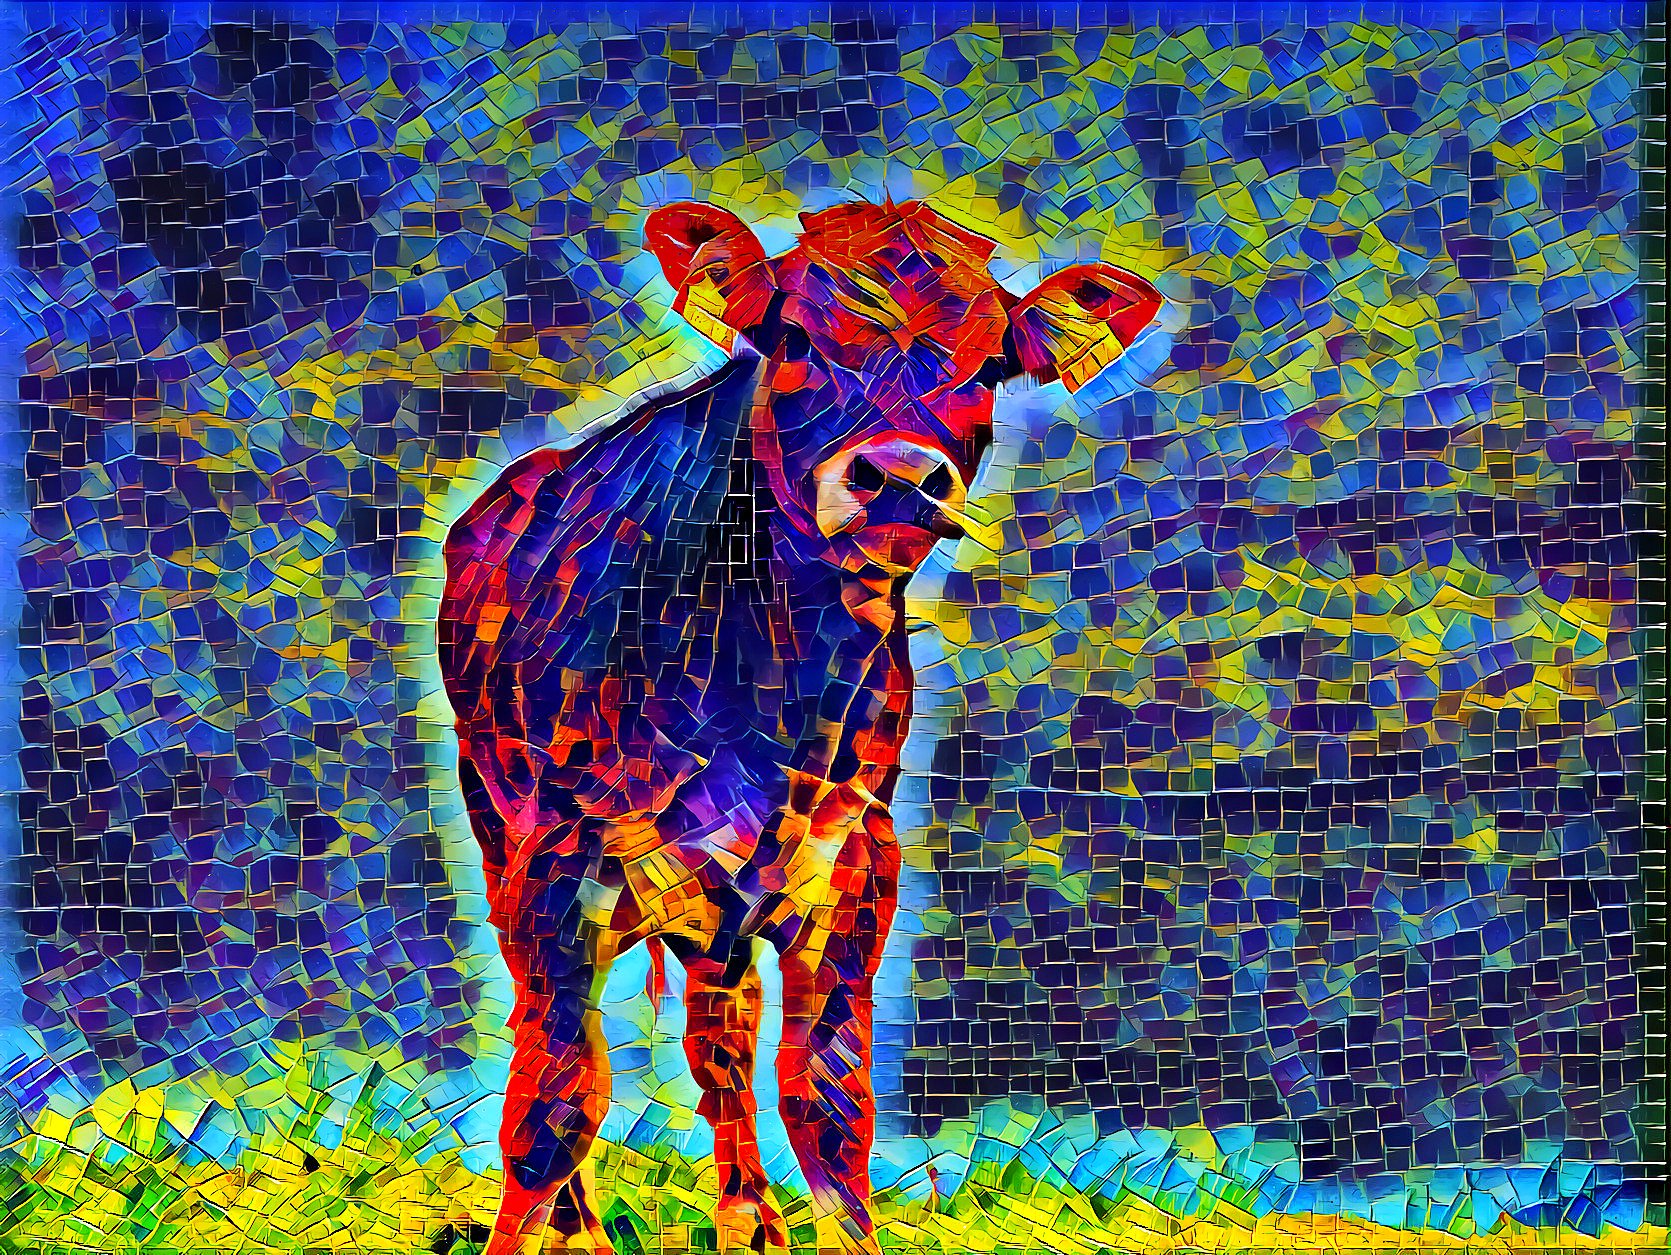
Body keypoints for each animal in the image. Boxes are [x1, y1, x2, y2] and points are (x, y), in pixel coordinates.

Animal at [438, 199, 1162, 1254]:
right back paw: (590, 1222)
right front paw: (549, 1230)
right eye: (792, 339)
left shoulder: (852, 854)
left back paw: (748, 1215)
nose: (899, 477)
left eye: (991, 364)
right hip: (497, 820)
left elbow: (827, 1098)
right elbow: (555, 1094)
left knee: (721, 1027)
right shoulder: (561, 857)